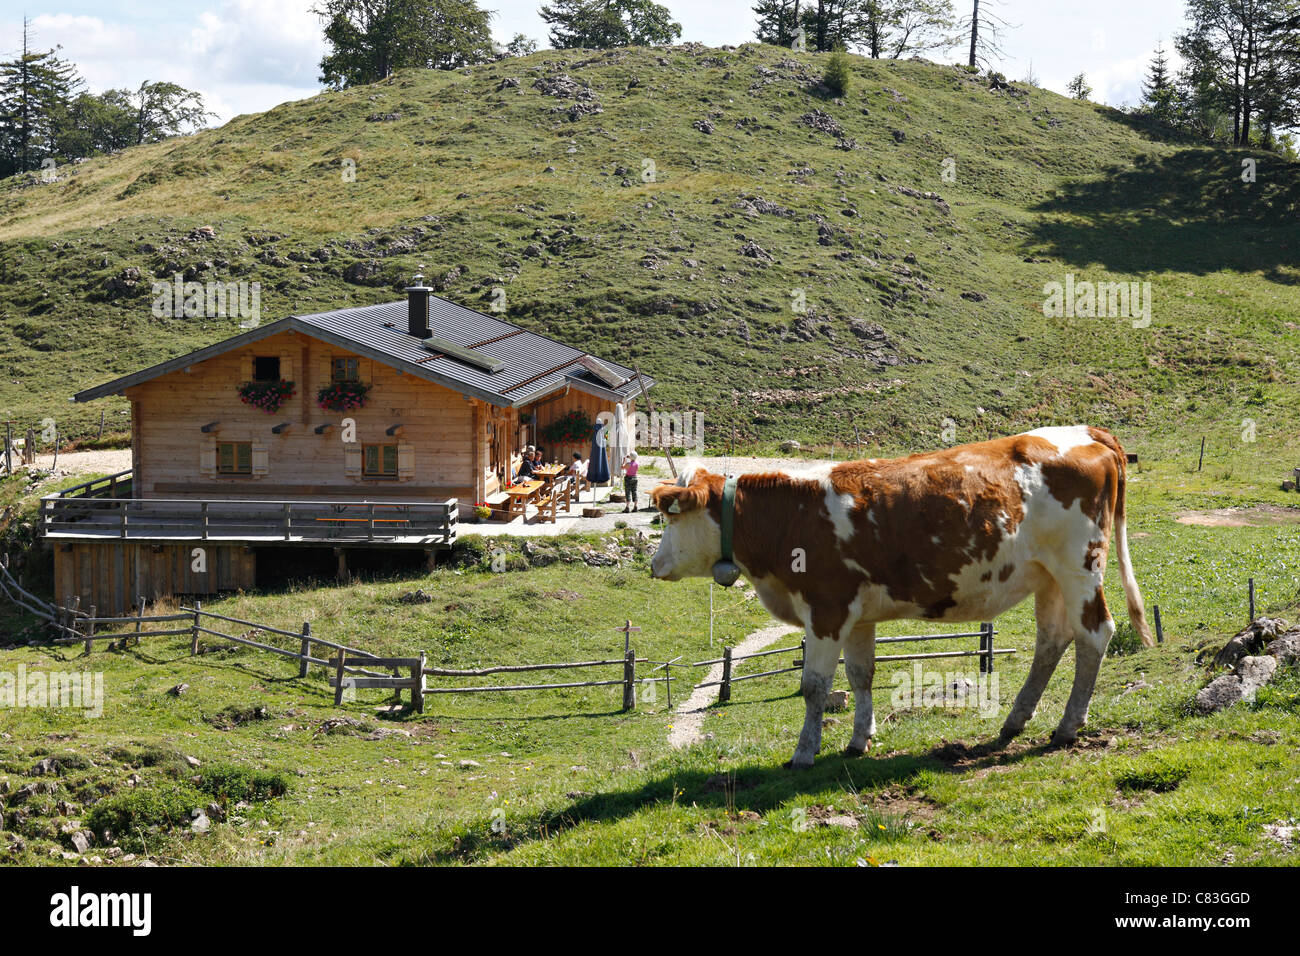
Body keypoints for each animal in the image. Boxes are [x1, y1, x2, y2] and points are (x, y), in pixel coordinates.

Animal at [649, 425, 1152, 769]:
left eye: (670, 517)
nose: (654, 565)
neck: (789, 517)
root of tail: (1085, 432)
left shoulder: (826, 610)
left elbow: (815, 687)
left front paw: (804, 753)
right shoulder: (857, 616)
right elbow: (860, 677)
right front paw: (858, 740)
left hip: (1080, 565)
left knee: (1095, 633)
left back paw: (1068, 726)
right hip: (1048, 576)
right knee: (1052, 641)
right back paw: (1015, 720)